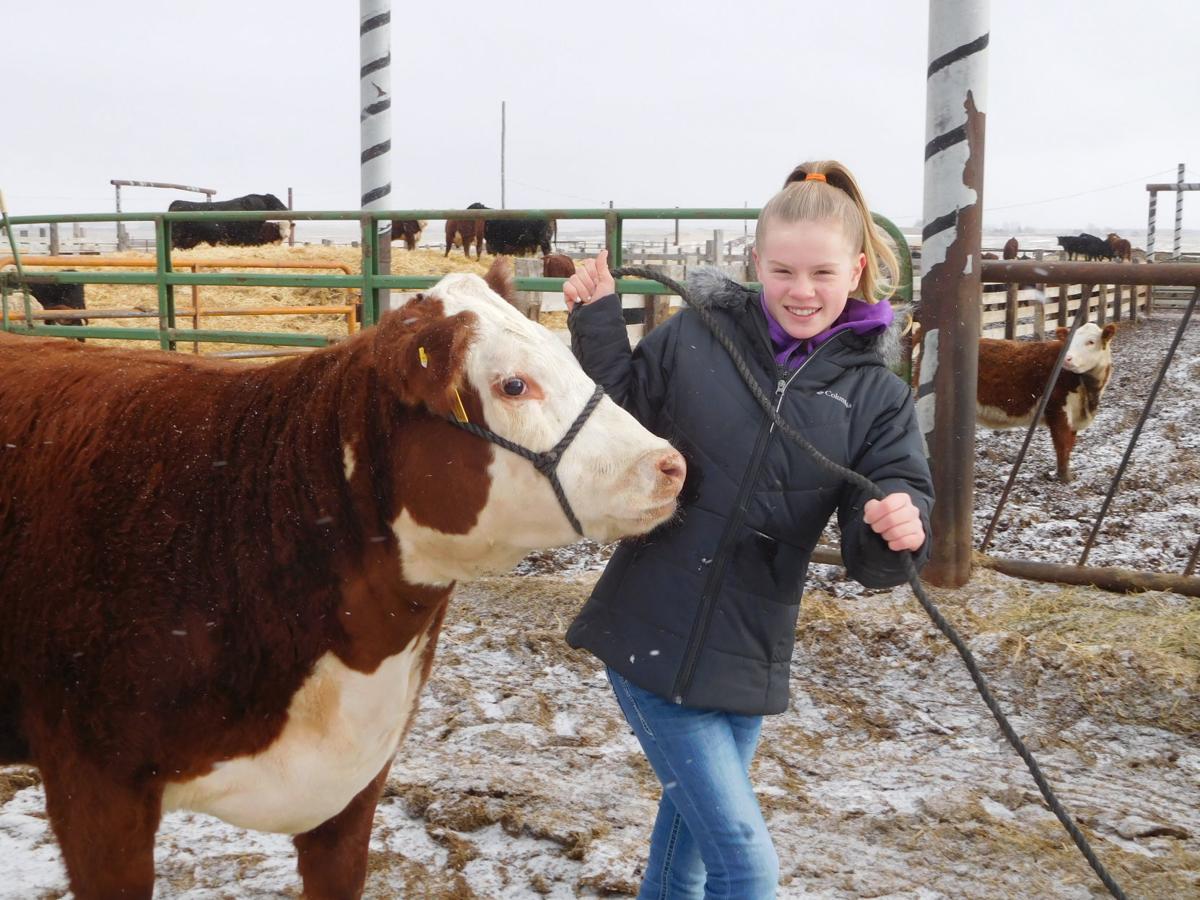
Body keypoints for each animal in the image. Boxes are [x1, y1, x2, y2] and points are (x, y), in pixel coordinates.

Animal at [976, 322, 1117, 482]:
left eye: (1091, 342)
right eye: (1068, 341)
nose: (1067, 359)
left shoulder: (1073, 417)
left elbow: (1070, 444)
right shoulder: (1057, 410)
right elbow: (1062, 444)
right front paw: (1064, 477)